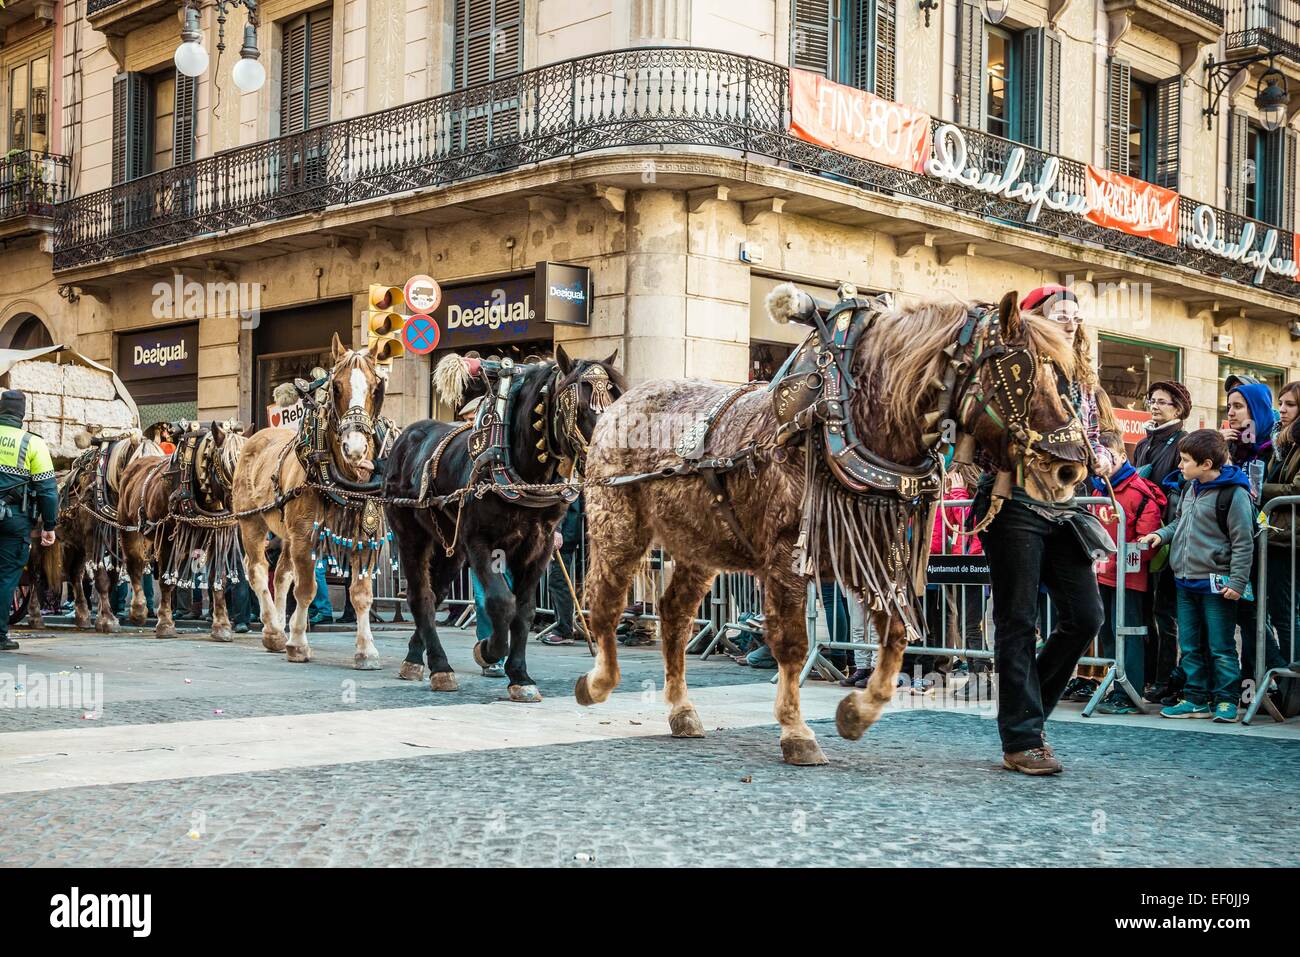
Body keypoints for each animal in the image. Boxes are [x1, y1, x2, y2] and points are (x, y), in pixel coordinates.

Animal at [56, 430, 163, 632]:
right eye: (140, 467)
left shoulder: (117, 542)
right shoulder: (93, 540)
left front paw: (105, 615)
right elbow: (102, 579)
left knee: (74, 574)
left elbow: (113, 579)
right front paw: (107, 620)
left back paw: (82, 615)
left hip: (74, 545)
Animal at [117, 421, 248, 641]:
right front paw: (165, 624)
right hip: (129, 529)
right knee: (134, 564)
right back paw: (138, 611)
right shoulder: (167, 539)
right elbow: (165, 581)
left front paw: (221, 626)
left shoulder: (216, 538)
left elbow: (217, 581)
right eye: (227, 464)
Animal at [232, 334, 393, 668]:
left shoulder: (366, 536)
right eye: (337, 387)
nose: (355, 448)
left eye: (376, 387)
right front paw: (297, 643)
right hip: (251, 521)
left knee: (281, 573)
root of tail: (254, 436)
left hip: (285, 532)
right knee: (257, 569)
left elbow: (361, 593)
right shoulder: (305, 535)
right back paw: (274, 630)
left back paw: (279, 628)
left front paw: (366, 650)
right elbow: (306, 589)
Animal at [384, 345, 623, 701]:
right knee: (420, 597)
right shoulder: (480, 543)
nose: (607, 456)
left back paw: (416, 657)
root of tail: (403, 439)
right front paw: (489, 651)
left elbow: (523, 611)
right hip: (410, 536)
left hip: (448, 546)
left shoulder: (539, 546)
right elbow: (501, 603)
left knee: (435, 594)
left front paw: (520, 676)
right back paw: (439, 666)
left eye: (614, 399)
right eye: (578, 406)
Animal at [573, 288, 1092, 765]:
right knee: (604, 603)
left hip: (700, 546)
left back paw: (682, 711)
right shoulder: (786, 558)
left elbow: (896, 636)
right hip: (617, 527)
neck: (837, 421)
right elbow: (793, 644)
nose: (1070, 467)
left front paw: (856, 713)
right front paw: (797, 733)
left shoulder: (872, 554)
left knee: (675, 615)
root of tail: (621, 404)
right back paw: (598, 684)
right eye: (1021, 371)